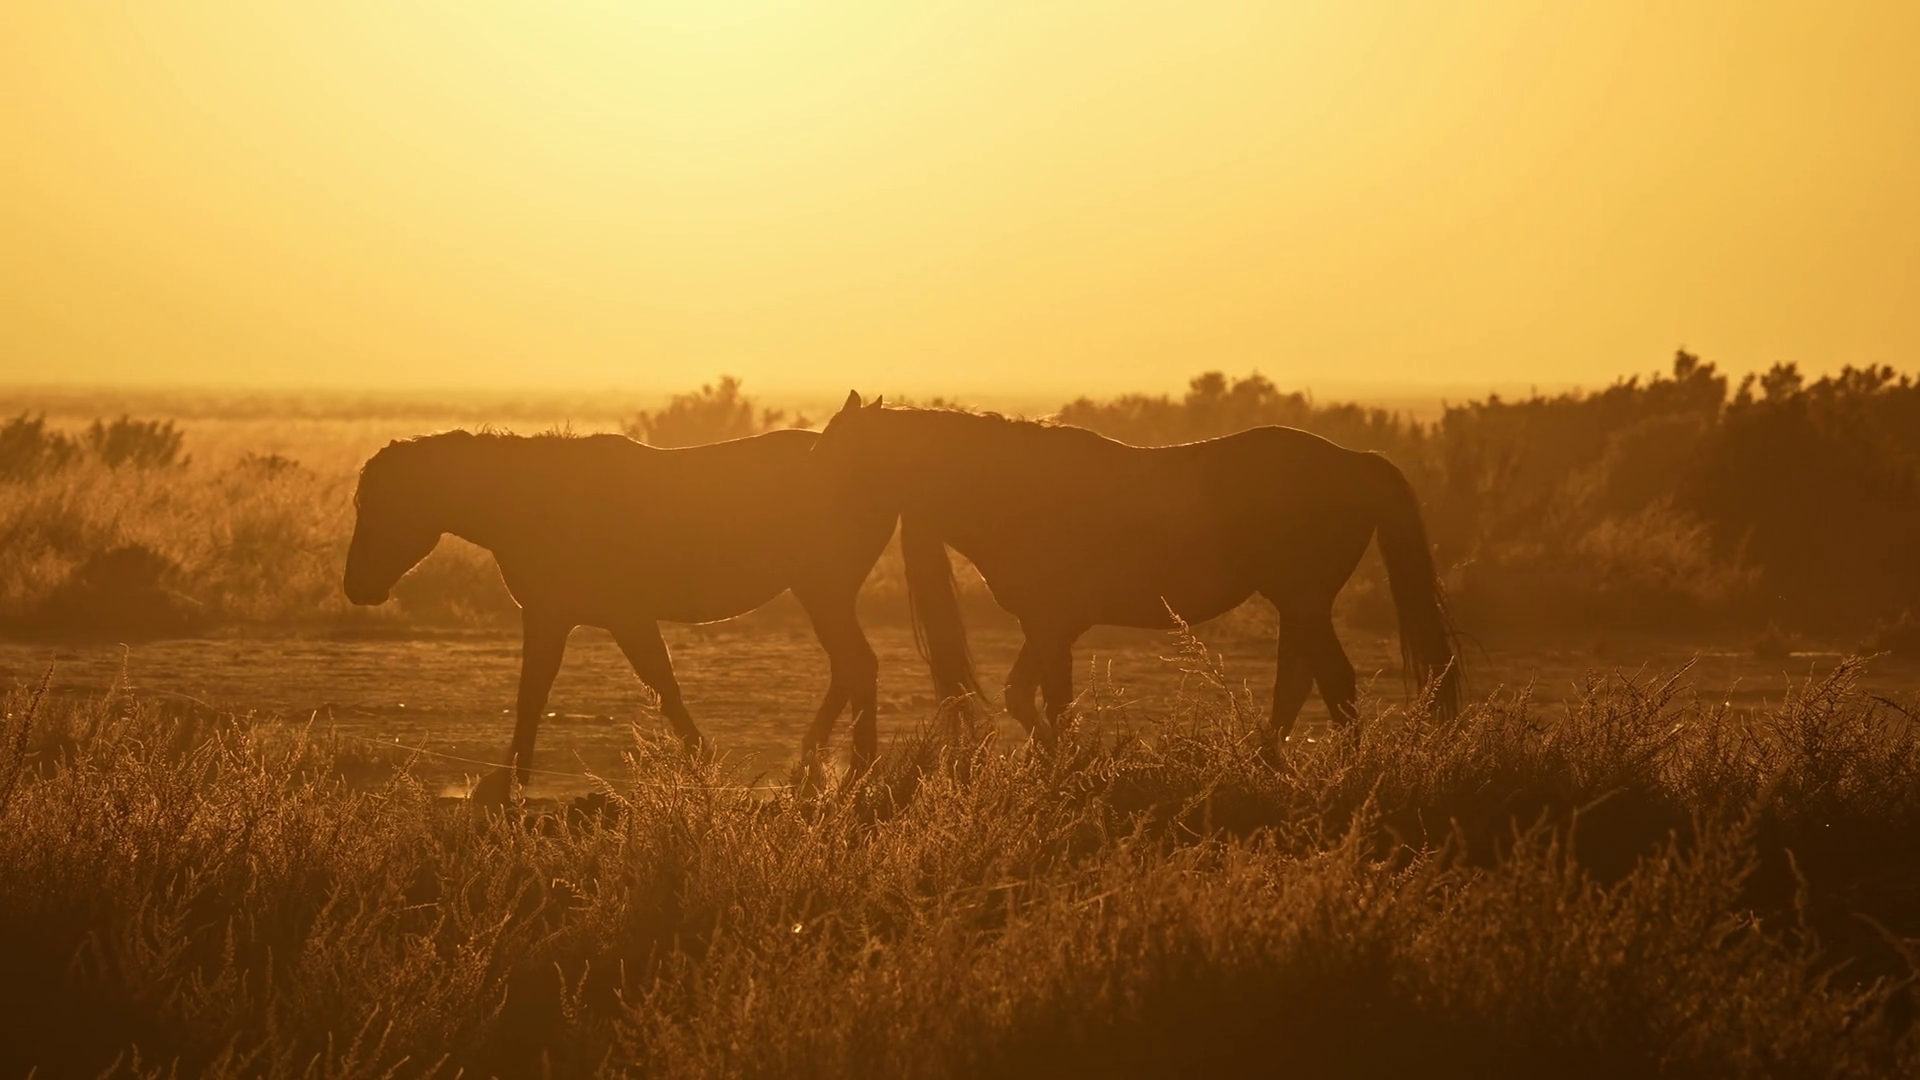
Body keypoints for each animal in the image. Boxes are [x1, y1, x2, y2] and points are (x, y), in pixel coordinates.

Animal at [343, 428, 898, 791]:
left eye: (377, 505)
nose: (354, 587)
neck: (534, 500)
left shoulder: (618, 618)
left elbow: (661, 686)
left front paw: (702, 763)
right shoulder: (549, 617)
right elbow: (532, 695)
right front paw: (508, 780)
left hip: (822, 591)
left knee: (856, 664)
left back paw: (852, 769)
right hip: (822, 594)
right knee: (849, 668)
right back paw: (821, 764)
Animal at [813, 393, 1459, 750]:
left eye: (836, 448)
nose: (810, 509)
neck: (1016, 489)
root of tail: (1356, 462)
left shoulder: (1052, 628)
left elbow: (1052, 703)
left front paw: (1067, 768)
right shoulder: (1048, 628)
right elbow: (1026, 698)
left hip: (1303, 601)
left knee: (1335, 685)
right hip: (1300, 605)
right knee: (1302, 684)